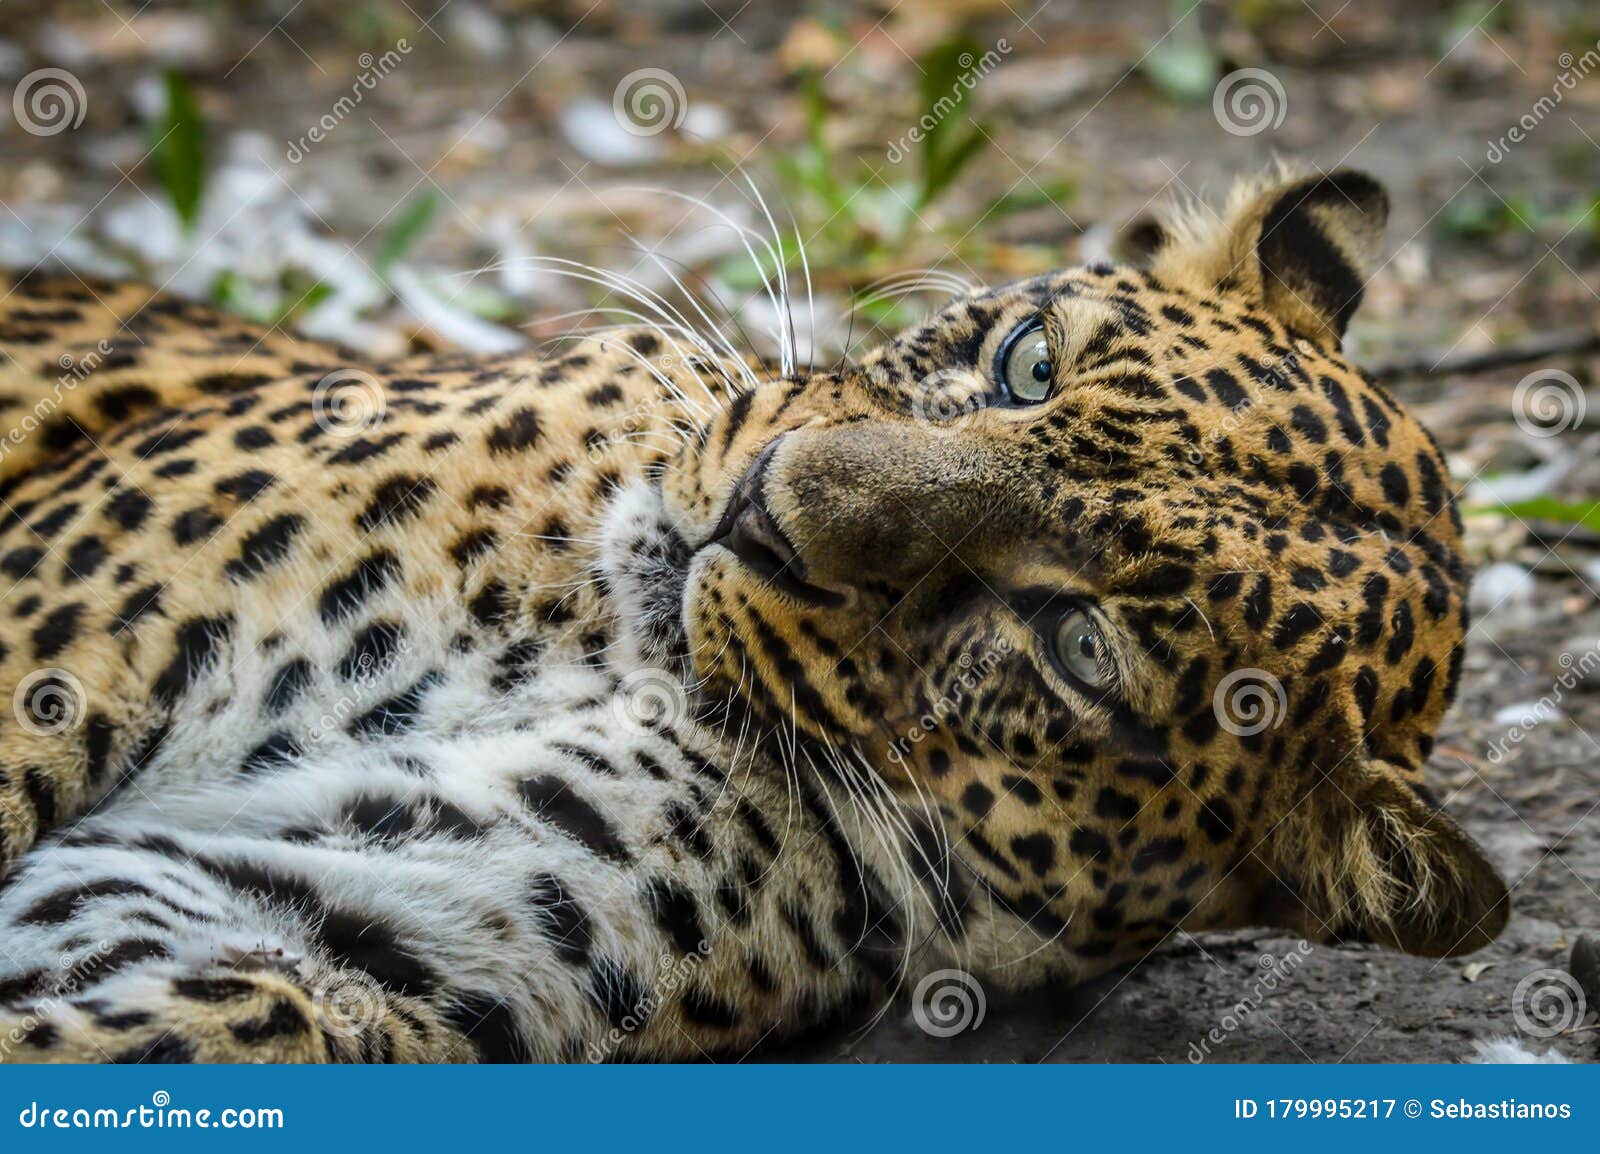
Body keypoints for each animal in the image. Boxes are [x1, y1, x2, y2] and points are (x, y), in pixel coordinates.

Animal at [0, 167, 1509, 1063]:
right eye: (1026, 364)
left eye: (1081, 647)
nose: (762, 509)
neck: (598, 646)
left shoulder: (303, 905)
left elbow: (256, 1003)